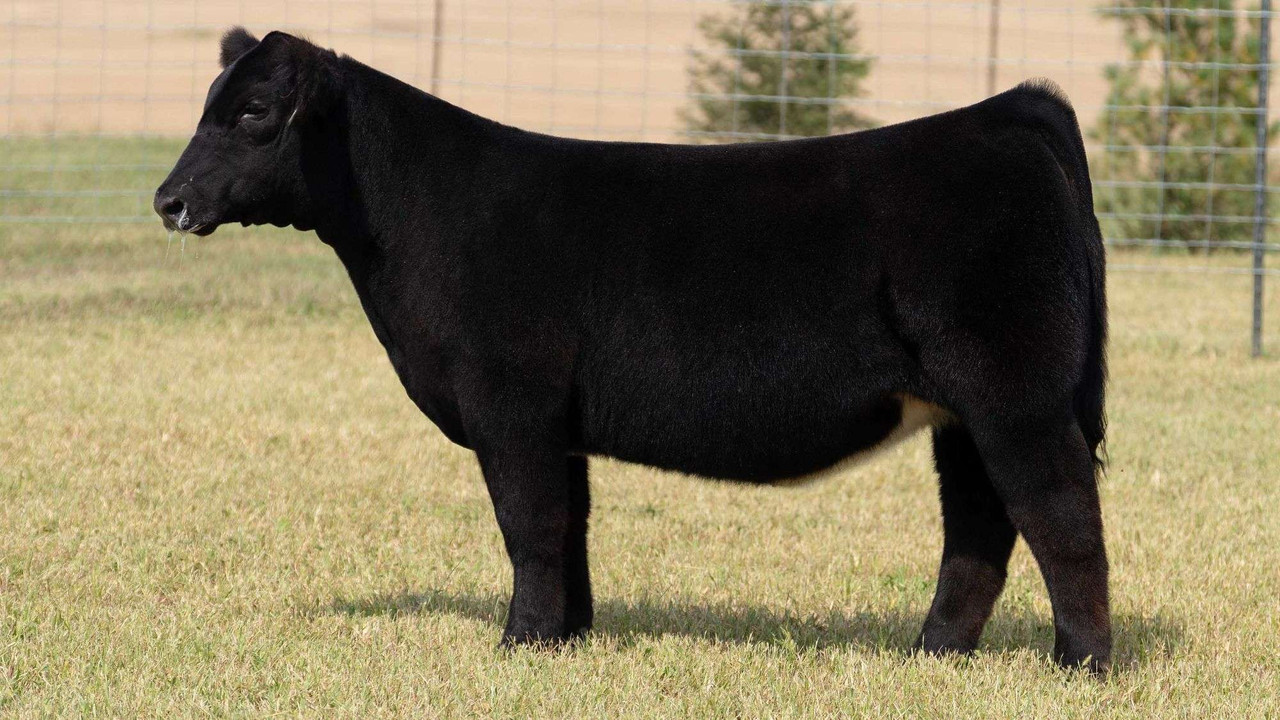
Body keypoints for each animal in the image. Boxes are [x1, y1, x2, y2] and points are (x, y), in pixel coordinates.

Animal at [154, 28, 1111, 672]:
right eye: (207, 105)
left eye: (253, 111)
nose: (168, 199)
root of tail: (1005, 112)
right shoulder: (556, 421)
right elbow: (569, 522)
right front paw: (567, 640)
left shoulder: (512, 404)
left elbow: (531, 524)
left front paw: (520, 644)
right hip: (964, 410)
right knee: (981, 527)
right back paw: (933, 653)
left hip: (1015, 393)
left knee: (1061, 512)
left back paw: (1082, 664)